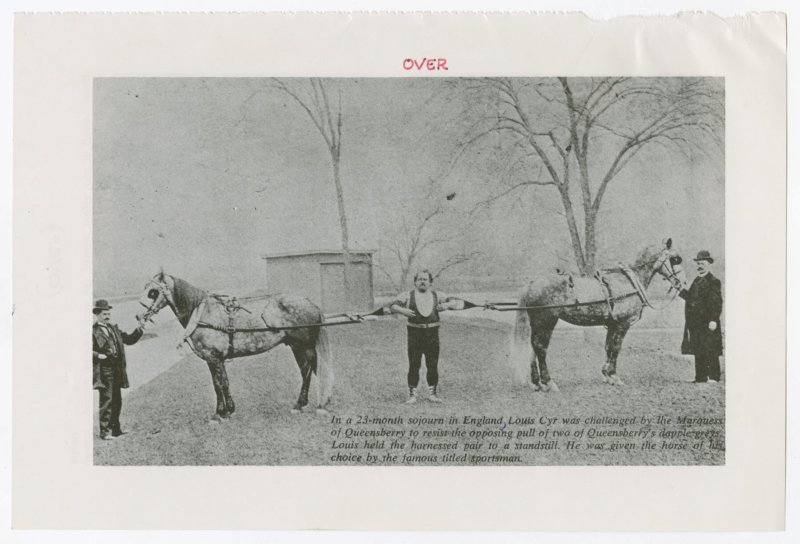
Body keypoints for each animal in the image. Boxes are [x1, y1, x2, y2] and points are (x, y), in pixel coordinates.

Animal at [137, 271, 334, 419]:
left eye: (153, 292)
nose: (138, 316)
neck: (202, 314)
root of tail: (311, 303)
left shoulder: (213, 357)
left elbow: (218, 384)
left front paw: (219, 414)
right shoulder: (218, 359)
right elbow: (223, 382)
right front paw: (229, 410)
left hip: (305, 346)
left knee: (309, 370)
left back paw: (313, 403)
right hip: (296, 346)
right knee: (307, 370)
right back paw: (305, 403)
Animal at [509, 239, 683, 391]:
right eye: (674, 259)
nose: (681, 283)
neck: (629, 282)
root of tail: (532, 283)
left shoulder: (612, 324)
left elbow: (608, 347)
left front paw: (606, 375)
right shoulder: (622, 324)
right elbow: (616, 348)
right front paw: (614, 376)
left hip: (537, 323)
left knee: (533, 347)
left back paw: (536, 382)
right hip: (546, 321)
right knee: (541, 348)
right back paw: (548, 382)